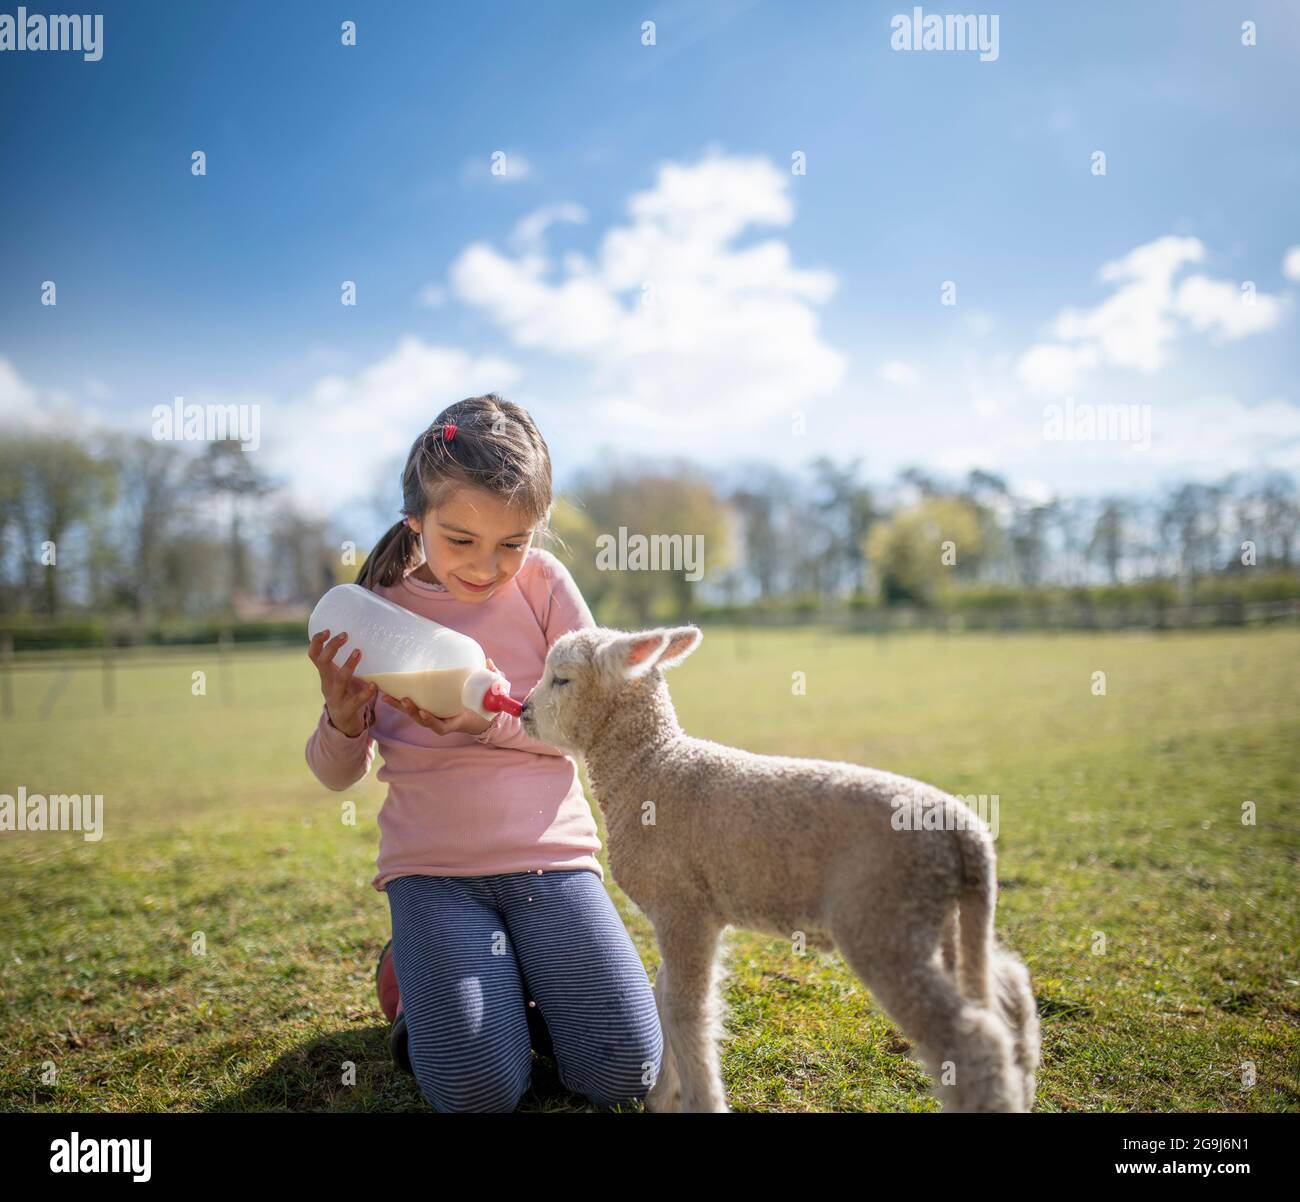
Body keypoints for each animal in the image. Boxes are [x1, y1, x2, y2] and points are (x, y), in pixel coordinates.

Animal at [519, 624, 1040, 1113]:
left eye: (562, 678)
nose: (523, 710)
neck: (648, 768)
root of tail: (966, 833)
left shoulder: (685, 909)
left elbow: (688, 1010)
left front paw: (702, 1100)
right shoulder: (680, 914)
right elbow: (665, 995)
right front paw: (665, 1095)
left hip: (885, 919)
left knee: (971, 1033)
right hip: (937, 916)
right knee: (1008, 988)